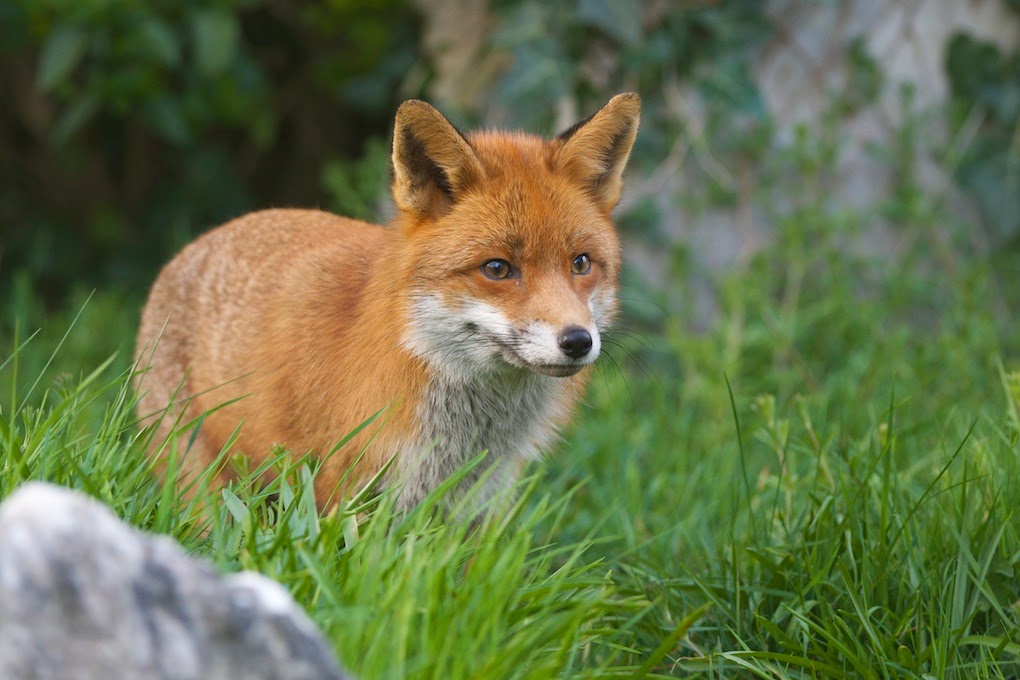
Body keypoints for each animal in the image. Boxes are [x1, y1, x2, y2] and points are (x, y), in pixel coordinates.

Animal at [134, 93, 640, 513]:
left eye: (581, 263)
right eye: (497, 269)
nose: (577, 341)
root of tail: (195, 244)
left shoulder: (479, 500)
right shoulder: (342, 490)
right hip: (201, 481)